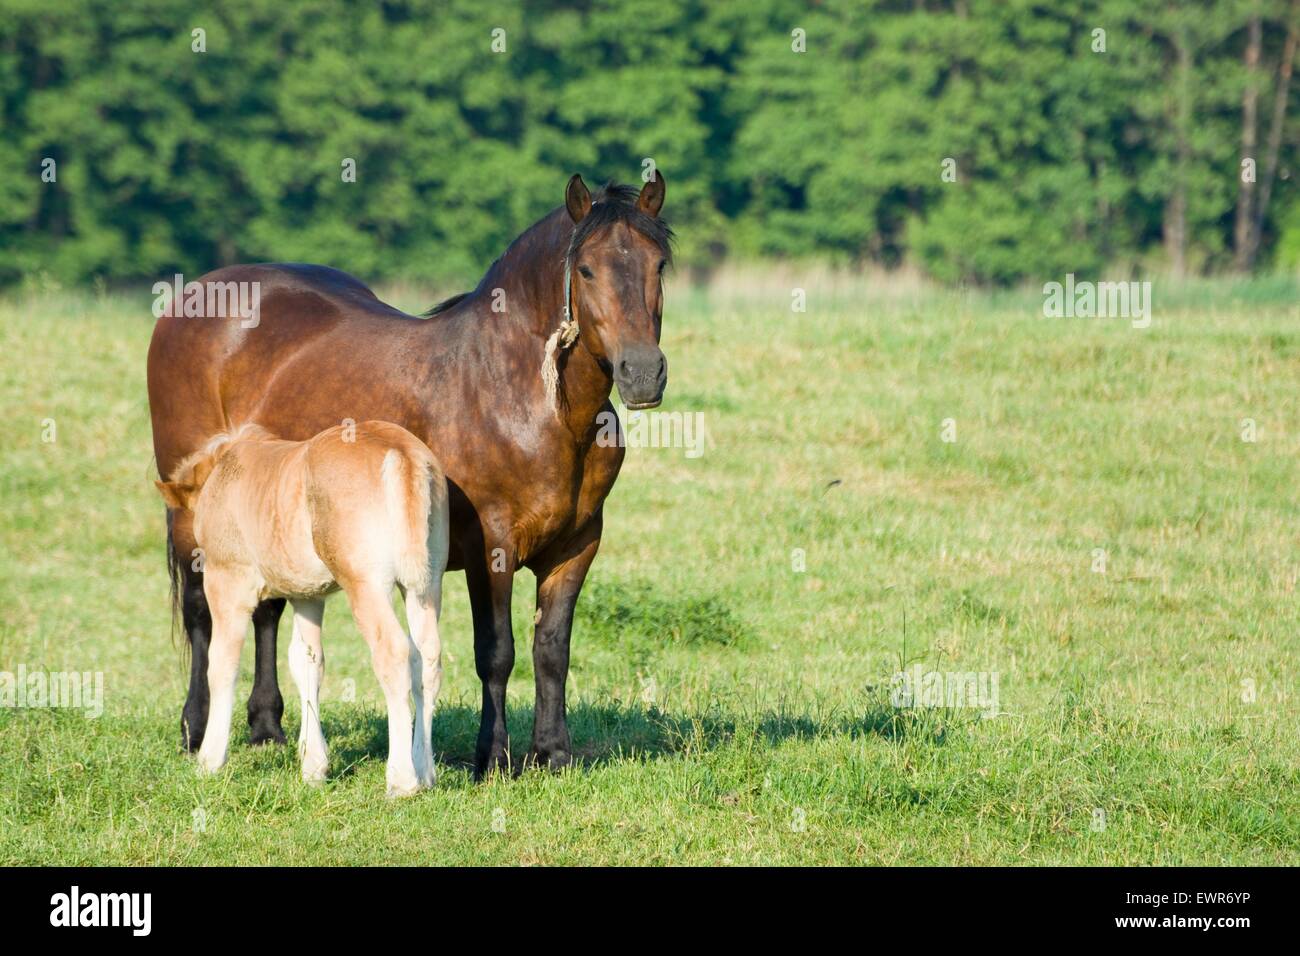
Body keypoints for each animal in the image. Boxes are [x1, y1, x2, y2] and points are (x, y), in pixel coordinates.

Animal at [154, 421, 449, 796]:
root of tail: (400, 451)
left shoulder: (228, 582)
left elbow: (222, 664)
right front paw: (313, 766)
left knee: (394, 653)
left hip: (367, 585)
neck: (225, 468)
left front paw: (210, 760)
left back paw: (402, 780)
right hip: (426, 584)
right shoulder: (308, 595)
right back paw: (425, 771)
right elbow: (307, 661)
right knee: (427, 658)